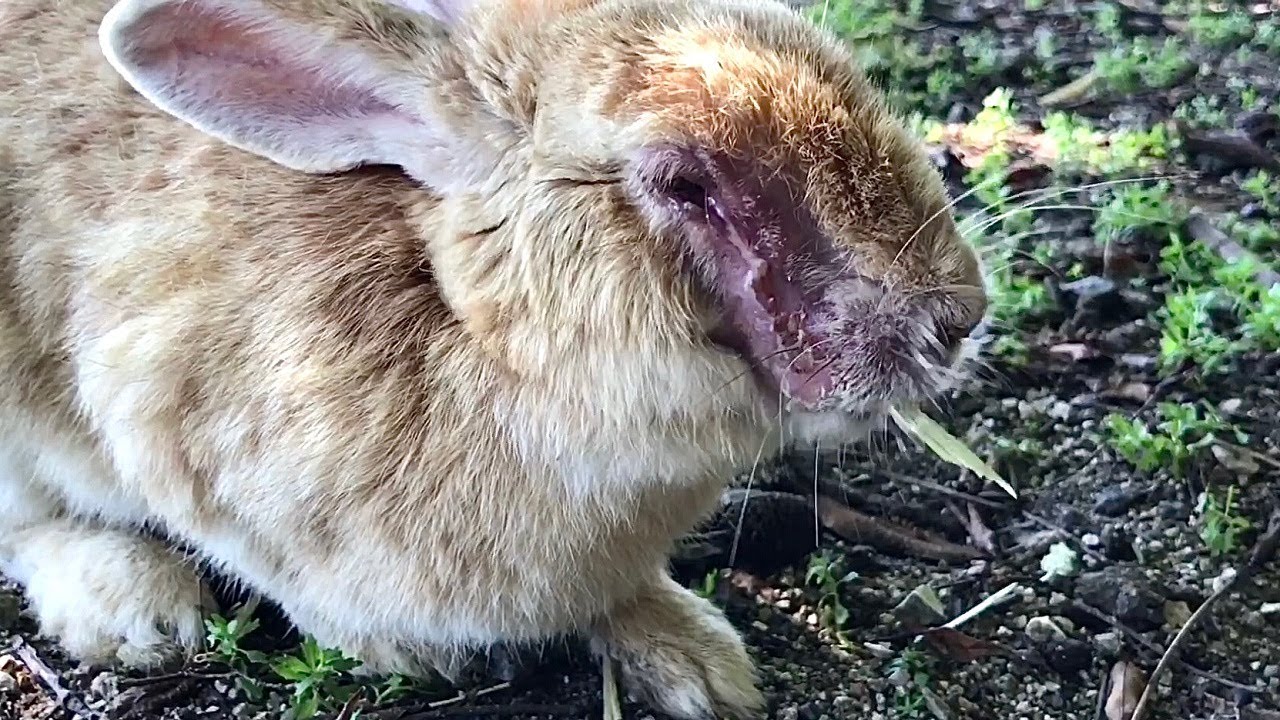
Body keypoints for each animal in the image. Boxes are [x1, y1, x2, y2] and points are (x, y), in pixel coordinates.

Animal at [0, 0, 989, 717]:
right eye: (684, 184)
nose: (959, 318)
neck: (477, 327)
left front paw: (706, 666)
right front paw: (407, 651)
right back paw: (135, 607)